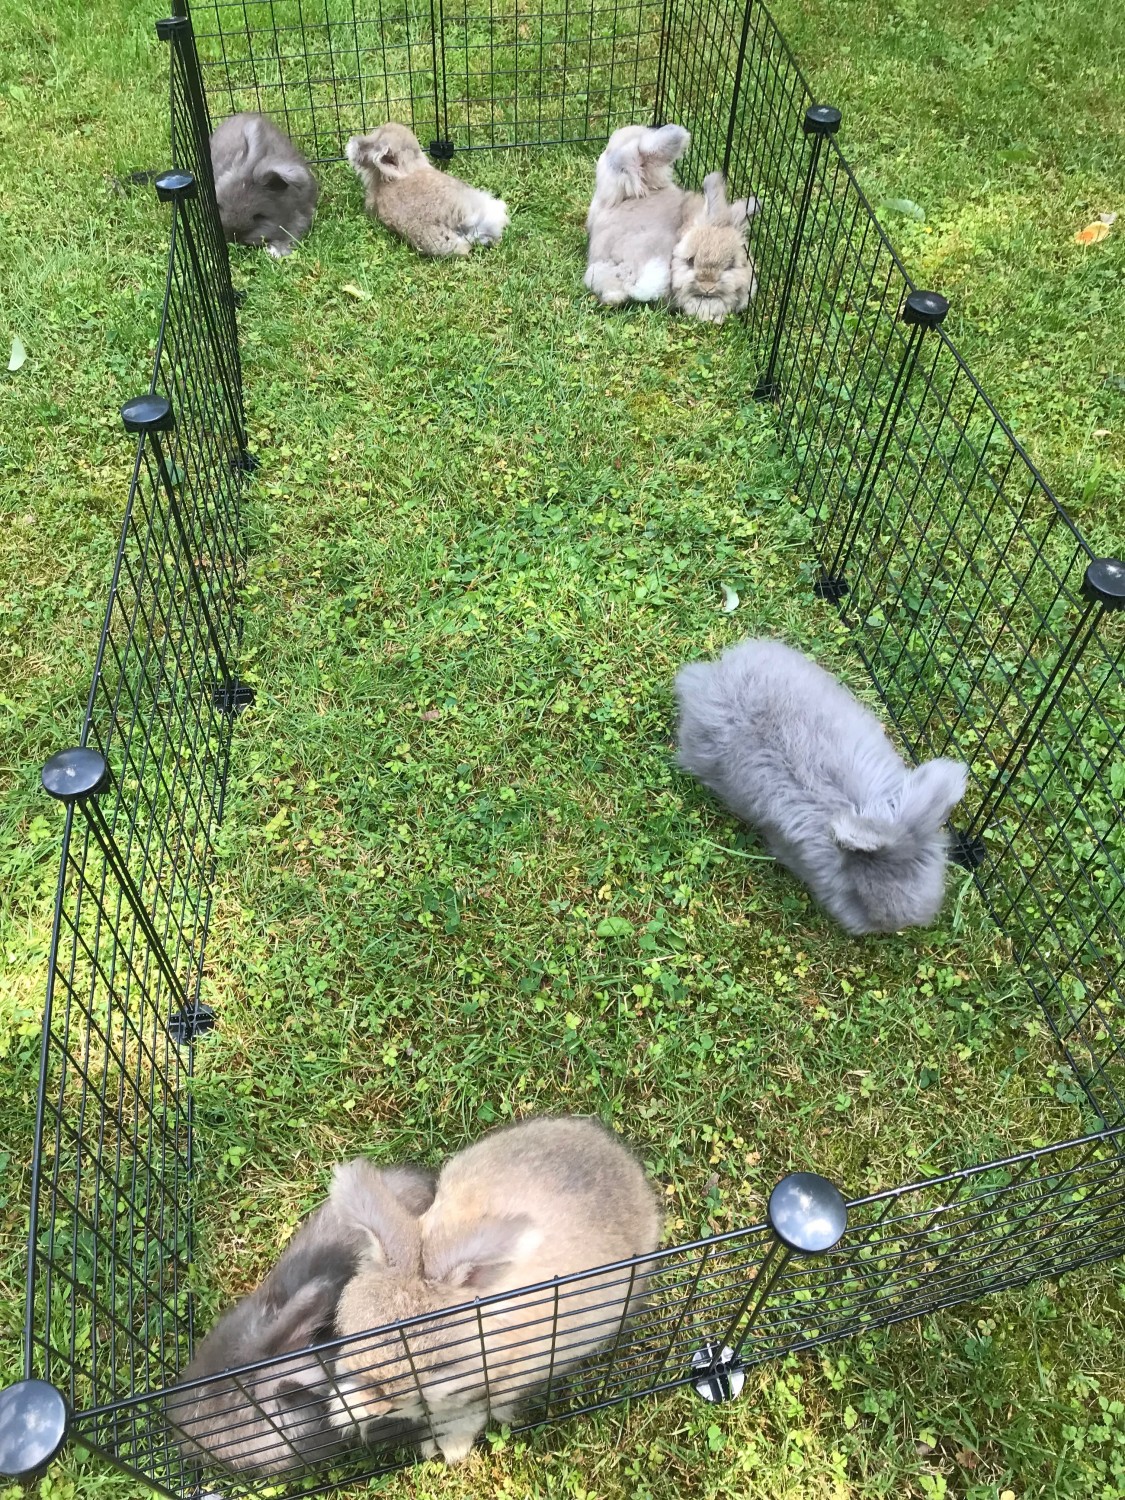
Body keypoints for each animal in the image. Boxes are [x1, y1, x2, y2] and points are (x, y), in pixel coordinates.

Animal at [329, 1116, 663, 1464]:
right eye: (356, 1340)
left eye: (437, 1367)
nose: (381, 1404)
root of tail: (620, 1158)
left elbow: (464, 1419)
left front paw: (450, 1450)